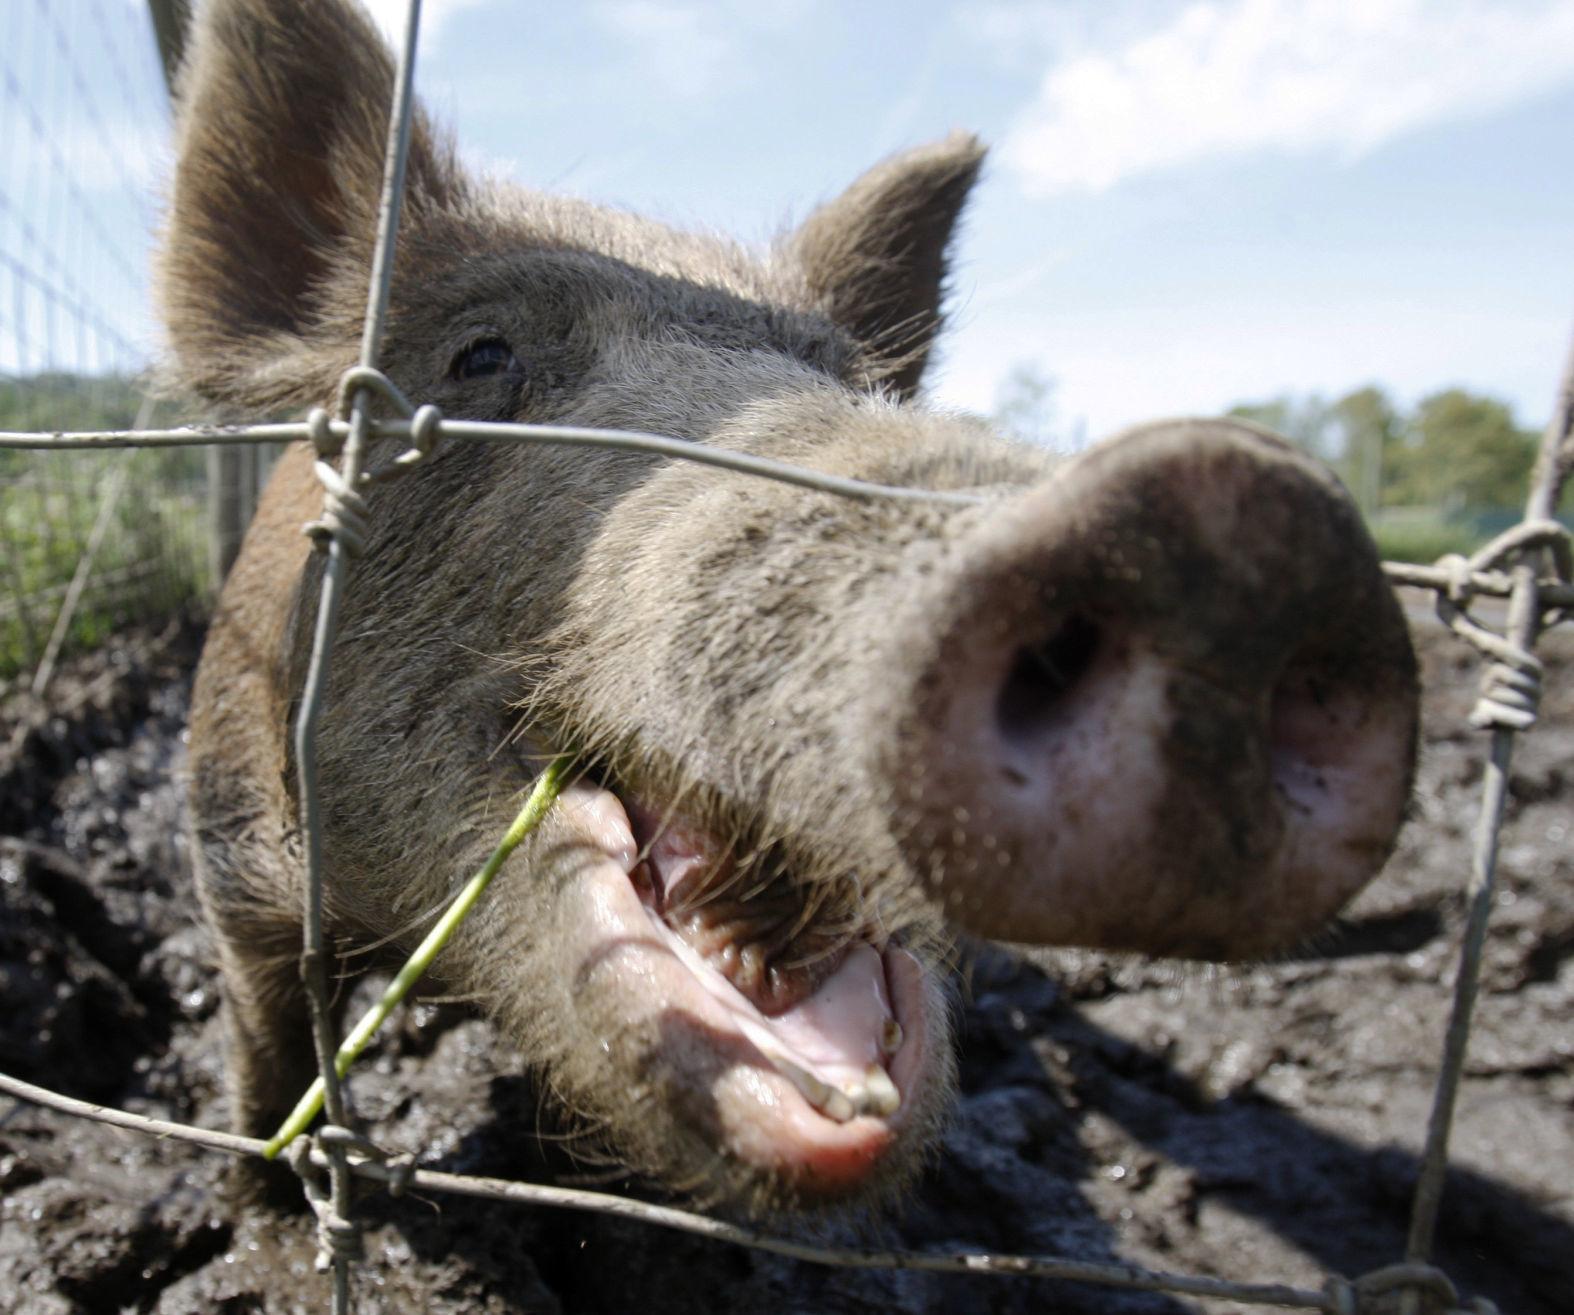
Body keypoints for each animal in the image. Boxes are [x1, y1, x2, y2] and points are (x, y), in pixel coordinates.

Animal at [163, 0, 1418, 1216]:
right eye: (480, 354)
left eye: (844, 375)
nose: (1222, 511)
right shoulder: (227, 860)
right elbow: (267, 1043)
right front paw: (260, 1196)